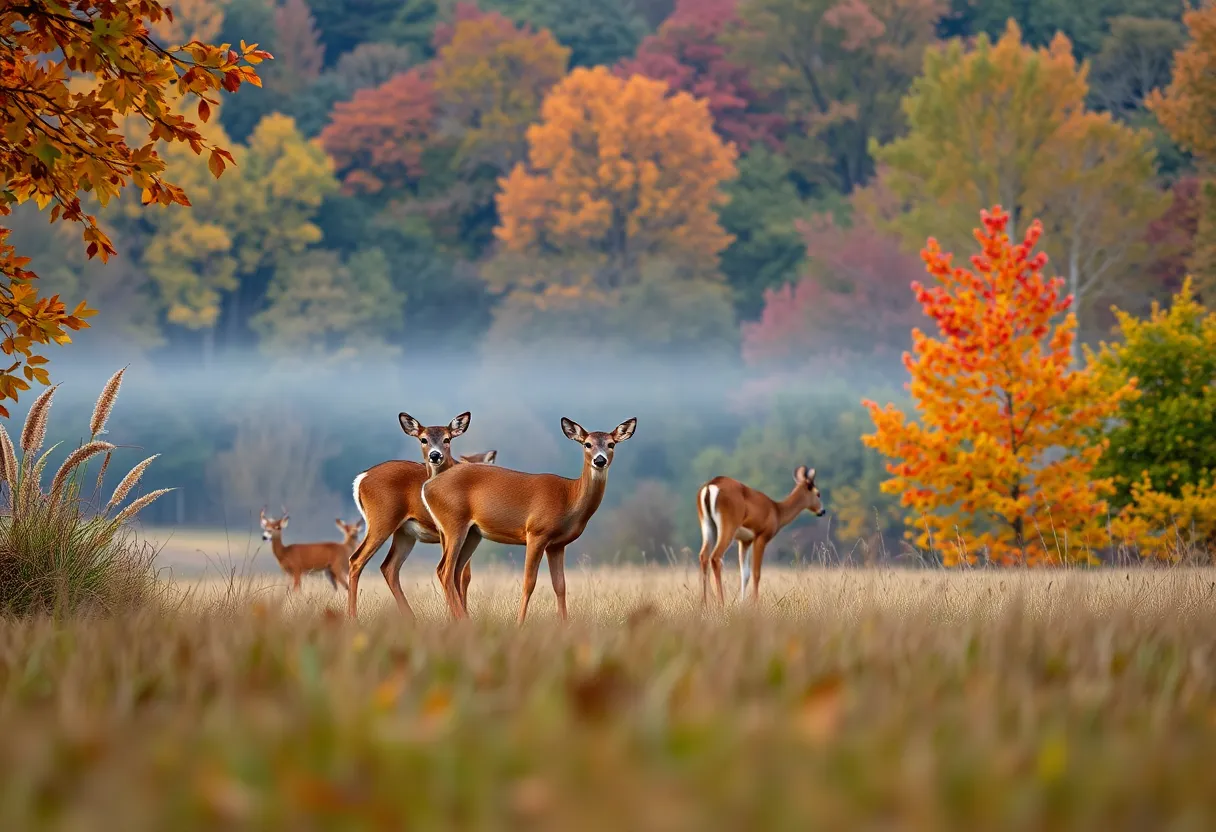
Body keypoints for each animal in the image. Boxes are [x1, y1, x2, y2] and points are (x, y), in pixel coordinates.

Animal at [346, 411, 499, 620]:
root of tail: (361, 478)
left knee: (389, 567)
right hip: (381, 520)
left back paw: (411, 618)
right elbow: (457, 573)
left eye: (447, 439)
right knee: (357, 560)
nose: (435, 455)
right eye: (423, 439)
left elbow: (463, 575)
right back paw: (353, 618)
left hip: (404, 533)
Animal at [421, 416, 637, 624]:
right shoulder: (536, 533)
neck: (569, 497)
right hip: (454, 523)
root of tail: (427, 486)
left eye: (611, 444)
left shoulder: (557, 545)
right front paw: (519, 624)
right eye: (587, 444)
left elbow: (560, 585)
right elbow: (529, 583)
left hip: (472, 533)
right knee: (444, 570)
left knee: (456, 571)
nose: (599, 460)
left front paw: (564, 625)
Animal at [695, 466, 825, 607]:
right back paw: (721, 603)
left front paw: (742, 602)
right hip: (727, 529)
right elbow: (756, 573)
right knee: (715, 557)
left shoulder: (745, 541)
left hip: (709, 527)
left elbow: (745, 573)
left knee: (704, 556)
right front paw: (755, 603)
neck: (777, 510)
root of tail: (711, 485)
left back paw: (704, 603)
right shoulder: (761, 538)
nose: (822, 511)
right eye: (818, 493)